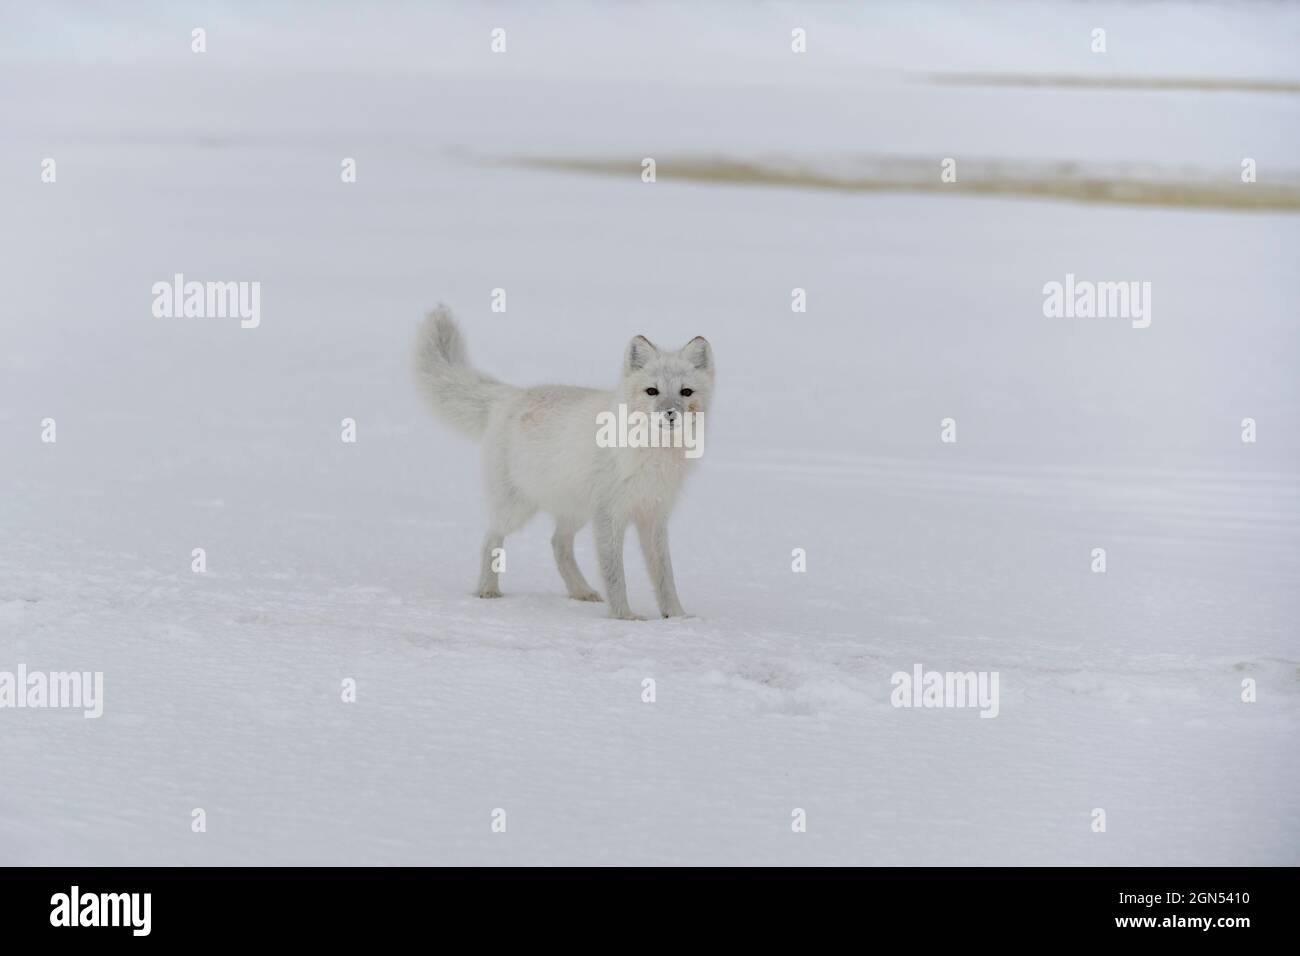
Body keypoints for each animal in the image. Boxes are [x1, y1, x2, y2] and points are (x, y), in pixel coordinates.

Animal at [413, 305, 714, 620]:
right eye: (652, 391)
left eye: (686, 392)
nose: (670, 413)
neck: (653, 453)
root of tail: (511, 395)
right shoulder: (609, 516)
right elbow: (615, 575)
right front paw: (624, 617)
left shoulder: (654, 516)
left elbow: (665, 575)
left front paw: (677, 617)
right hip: (517, 510)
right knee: (490, 538)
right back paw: (487, 589)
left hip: (575, 511)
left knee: (558, 544)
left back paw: (581, 591)